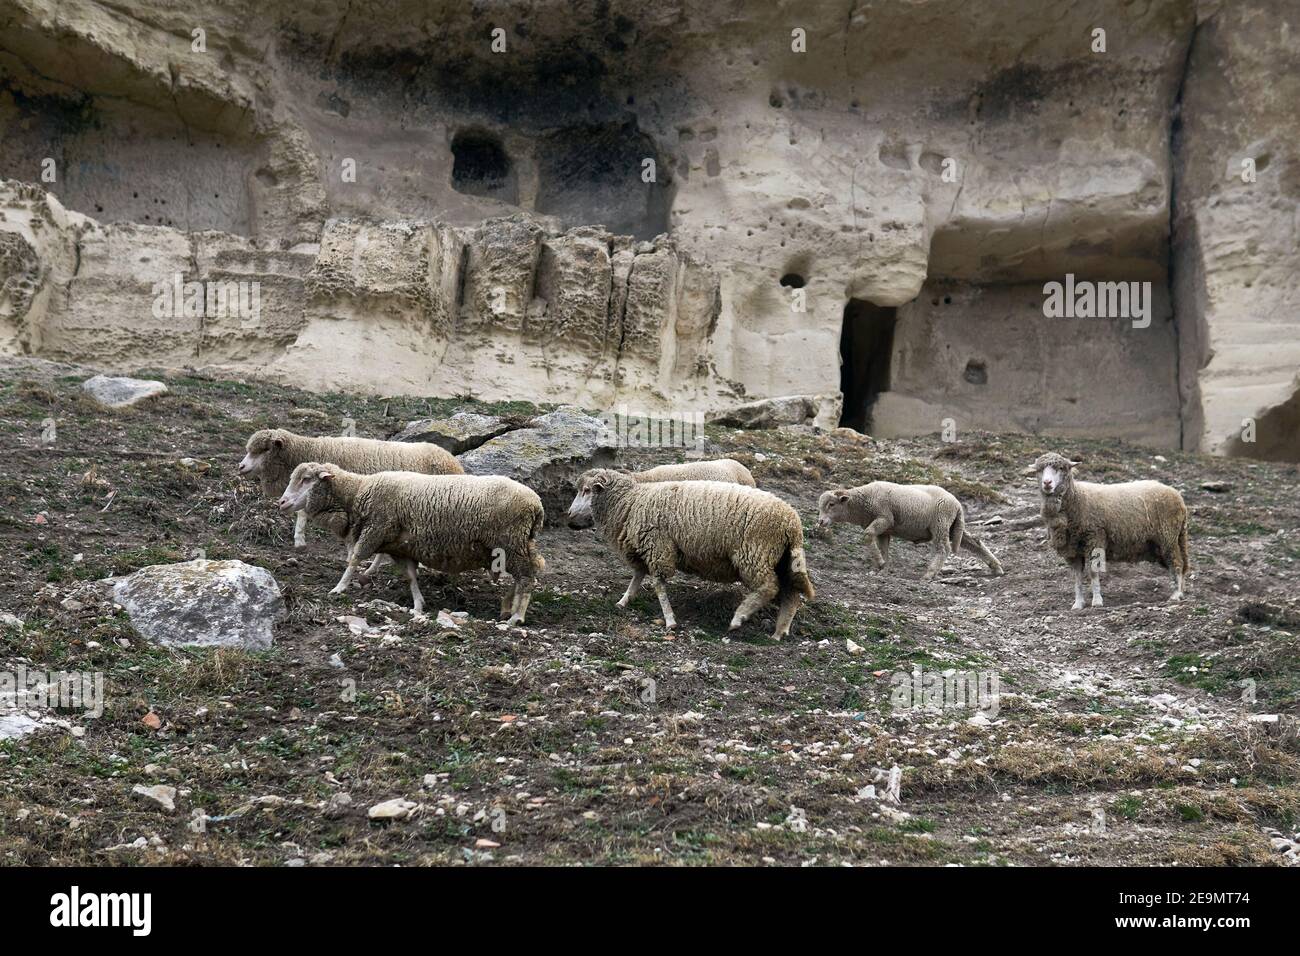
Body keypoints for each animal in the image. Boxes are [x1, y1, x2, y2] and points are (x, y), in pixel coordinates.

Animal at [238, 427, 462, 549]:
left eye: (264, 450)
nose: (241, 467)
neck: (312, 450)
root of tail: (452, 460)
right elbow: (302, 511)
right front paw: (299, 539)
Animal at [278, 463, 545, 623]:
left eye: (306, 479)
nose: (281, 502)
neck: (357, 493)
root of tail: (537, 504)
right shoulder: (399, 546)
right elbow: (409, 577)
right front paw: (418, 604)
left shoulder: (375, 530)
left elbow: (354, 559)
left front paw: (339, 587)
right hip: (516, 546)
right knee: (526, 575)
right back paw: (508, 607)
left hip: (511, 544)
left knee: (526, 578)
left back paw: (517, 617)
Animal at [566, 469, 814, 638]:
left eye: (587, 490)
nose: (568, 516)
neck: (631, 501)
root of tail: (792, 523)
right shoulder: (642, 549)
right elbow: (637, 577)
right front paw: (623, 601)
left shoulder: (659, 547)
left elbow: (658, 584)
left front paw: (669, 620)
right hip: (781, 560)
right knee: (791, 595)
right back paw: (779, 631)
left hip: (755, 553)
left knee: (769, 588)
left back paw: (739, 618)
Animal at [817, 482, 1004, 580]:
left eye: (831, 504)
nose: (820, 521)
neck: (862, 503)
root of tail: (957, 504)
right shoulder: (885, 530)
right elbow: (883, 548)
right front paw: (882, 568)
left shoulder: (885, 518)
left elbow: (867, 535)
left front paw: (879, 563)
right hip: (952, 527)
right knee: (975, 542)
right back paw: (996, 567)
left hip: (940, 523)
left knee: (943, 548)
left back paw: (929, 574)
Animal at [1023, 452, 1189, 609]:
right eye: (1039, 470)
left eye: (1061, 468)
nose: (1047, 483)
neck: (1077, 498)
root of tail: (1177, 496)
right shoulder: (1072, 549)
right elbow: (1077, 578)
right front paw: (1078, 604)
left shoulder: (1094, 539)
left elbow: (1093, 572)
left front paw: (1097, 601)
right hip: (1162, 542)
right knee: (1176, 564)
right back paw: (1179, 592)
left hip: (1167, 536)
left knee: (1177, 562)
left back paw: (1176, 594)